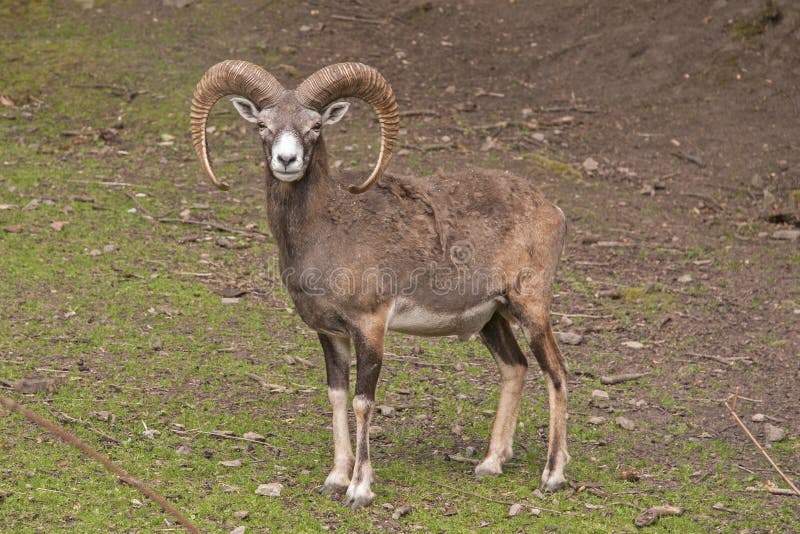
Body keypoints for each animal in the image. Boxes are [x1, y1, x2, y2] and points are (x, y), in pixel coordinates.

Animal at [190, 60, 570, 509]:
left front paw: (359, 489)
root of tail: (552, 210)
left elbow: (362, 401)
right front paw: (336, 478)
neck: (327, 230)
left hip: (530, 308)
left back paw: (552, 476)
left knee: (556, 373)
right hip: (492, 318)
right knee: (515, 368)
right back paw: (490, 464)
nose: (287, 159)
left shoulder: (370, 327)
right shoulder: (331, 334)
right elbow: (337, 396)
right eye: (263, 125)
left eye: (315, 125)